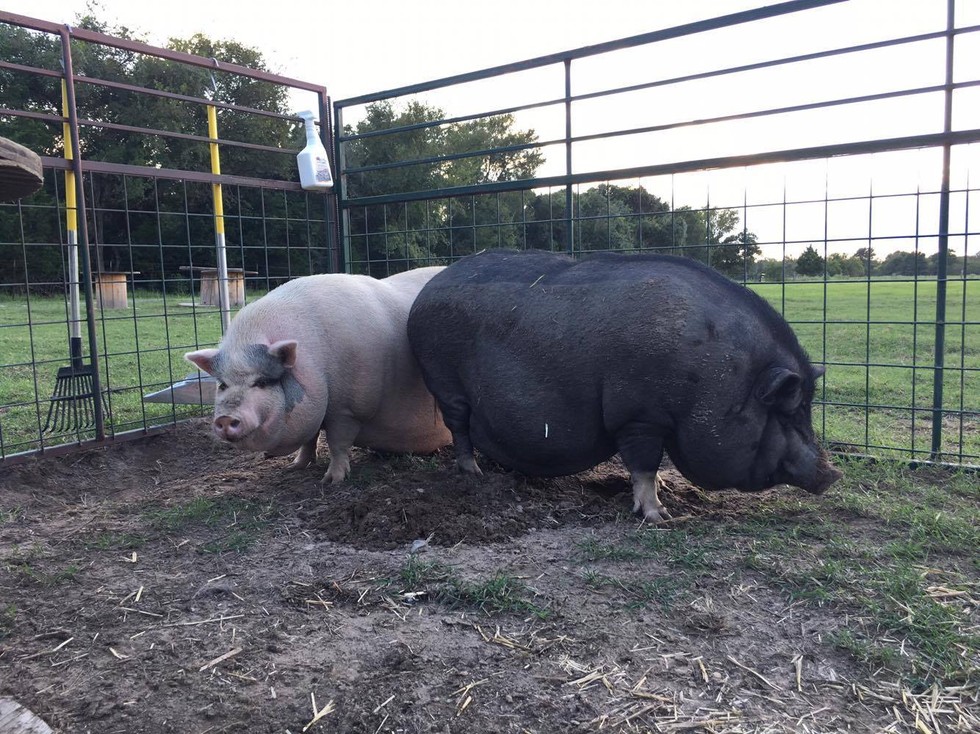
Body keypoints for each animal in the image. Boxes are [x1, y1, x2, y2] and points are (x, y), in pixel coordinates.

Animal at [185, 267, 451, 483]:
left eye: (261, 382)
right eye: (222, 385)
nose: (225, 418)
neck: (314, 362)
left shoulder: (348, 408)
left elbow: (337, 442)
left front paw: (331, 481)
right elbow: (309, 438)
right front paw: (294, 467)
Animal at [407, 249, 841, 522]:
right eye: (787, 410)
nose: (832, 473)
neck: (715, 375)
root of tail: (428, 289)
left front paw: (665, 493)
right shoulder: (639, 415)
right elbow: (644, 463)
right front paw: (660, 515)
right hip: (445, 381)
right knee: (459, 427)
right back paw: (473, 473)